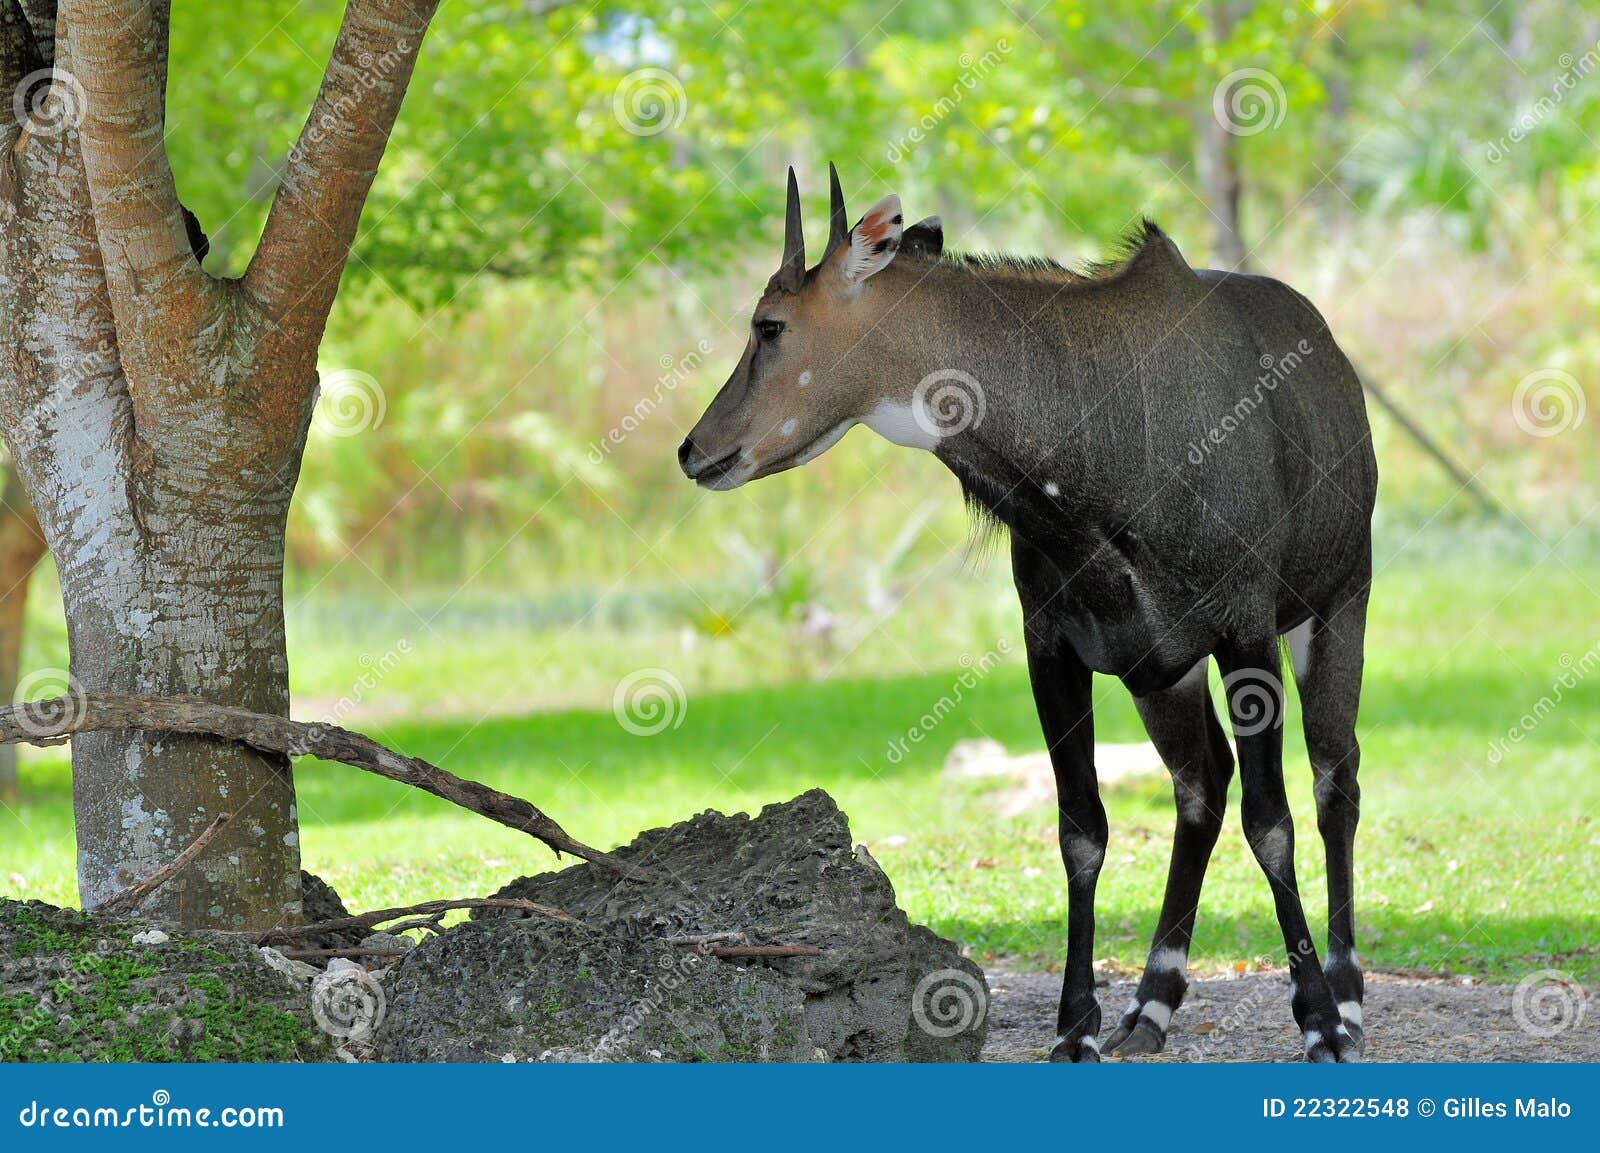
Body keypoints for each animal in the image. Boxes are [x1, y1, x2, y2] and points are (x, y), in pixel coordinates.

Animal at [679, 167, 1377, 1062]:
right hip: (1163, 674)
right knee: (1201, 783)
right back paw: (1150, 1004)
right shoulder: (1055, 647)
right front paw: (1076, 1027)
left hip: (1335, 606)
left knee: (1333, 777)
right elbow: (1082, 828)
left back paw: (1348, 993)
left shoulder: (1244, 629)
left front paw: (1319, 1019)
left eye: (769, 325)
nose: (695, 450)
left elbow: (1273, 822)